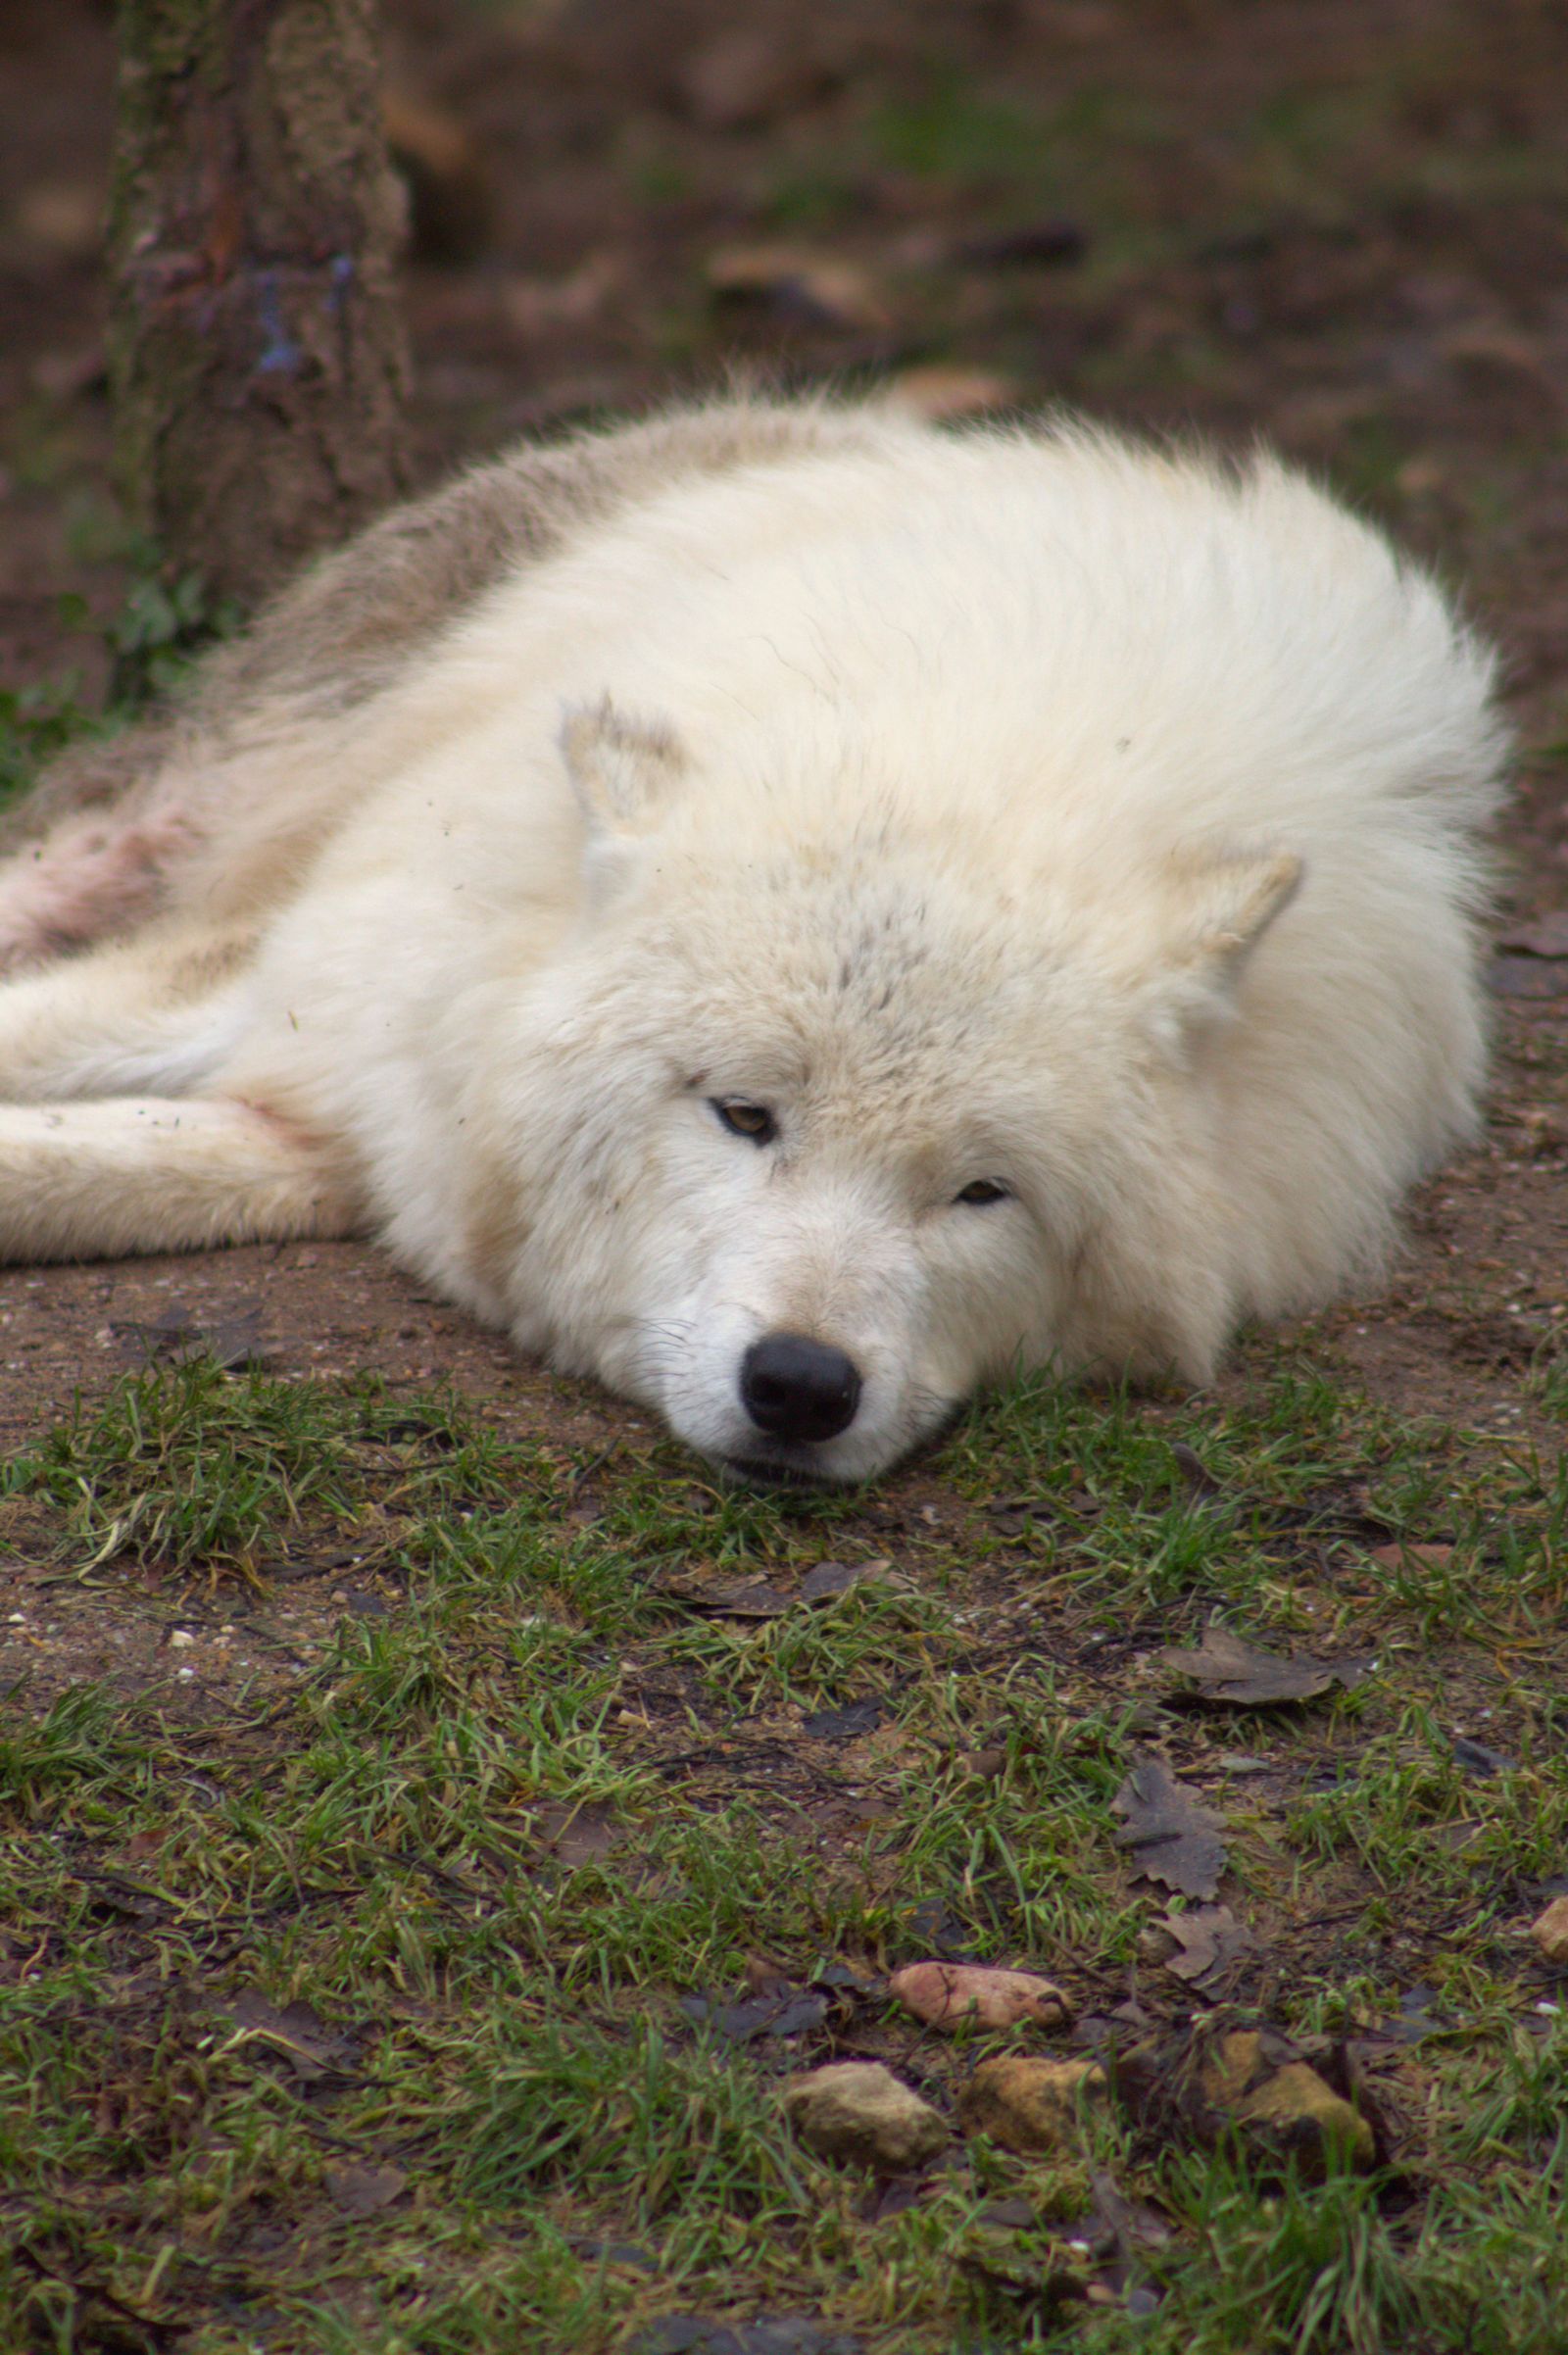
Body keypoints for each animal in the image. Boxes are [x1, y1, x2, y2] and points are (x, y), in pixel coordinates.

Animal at [0, 395, 1505, 1483]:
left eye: (982, 1193)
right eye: (743, 1115)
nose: (799, 1384)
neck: (973, 771)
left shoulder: (340, 1128)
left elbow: (94, 1172)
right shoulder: (299, 981)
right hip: (206, 801)